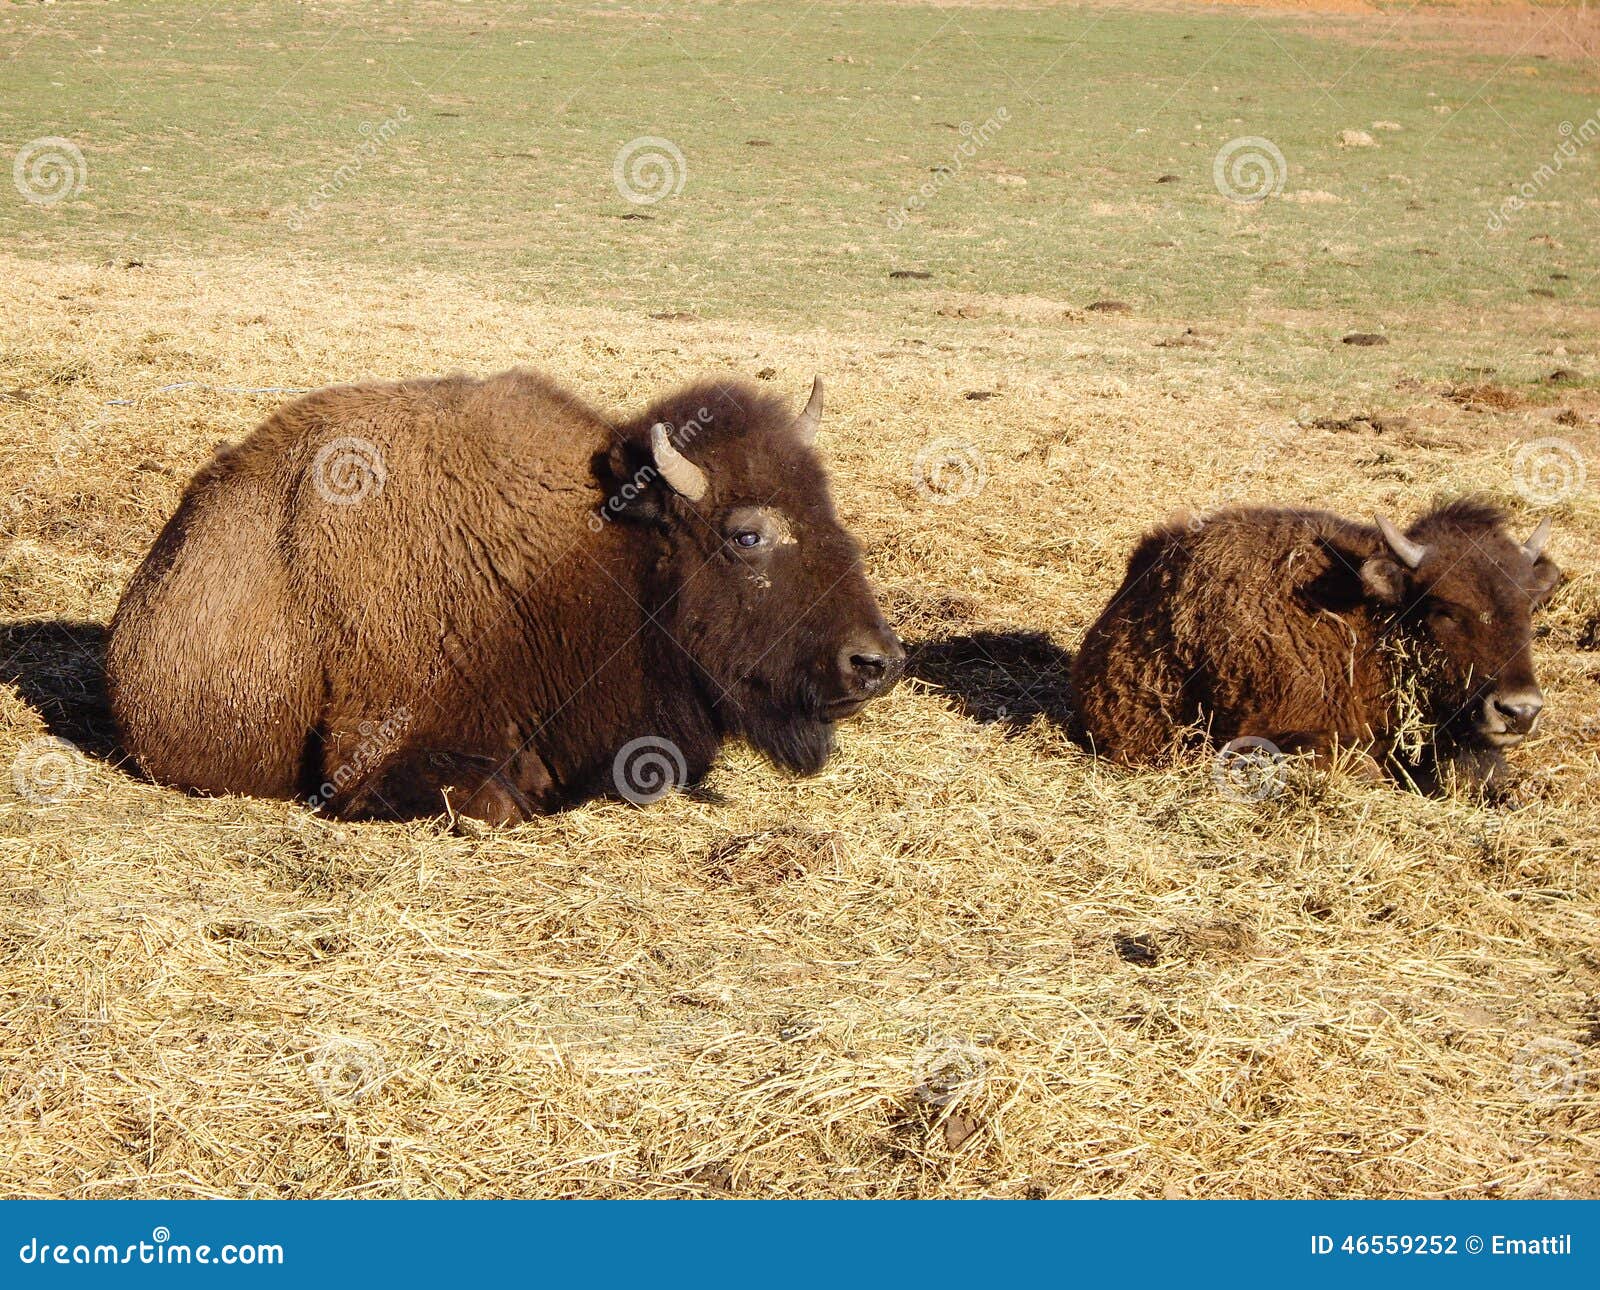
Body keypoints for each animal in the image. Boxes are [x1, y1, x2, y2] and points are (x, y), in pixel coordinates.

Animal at [106, 369, 904, 823]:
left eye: (828, 508)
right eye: (746, 535)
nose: (877, 662)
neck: (610, 554)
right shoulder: (371, 749)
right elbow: (495, 804)